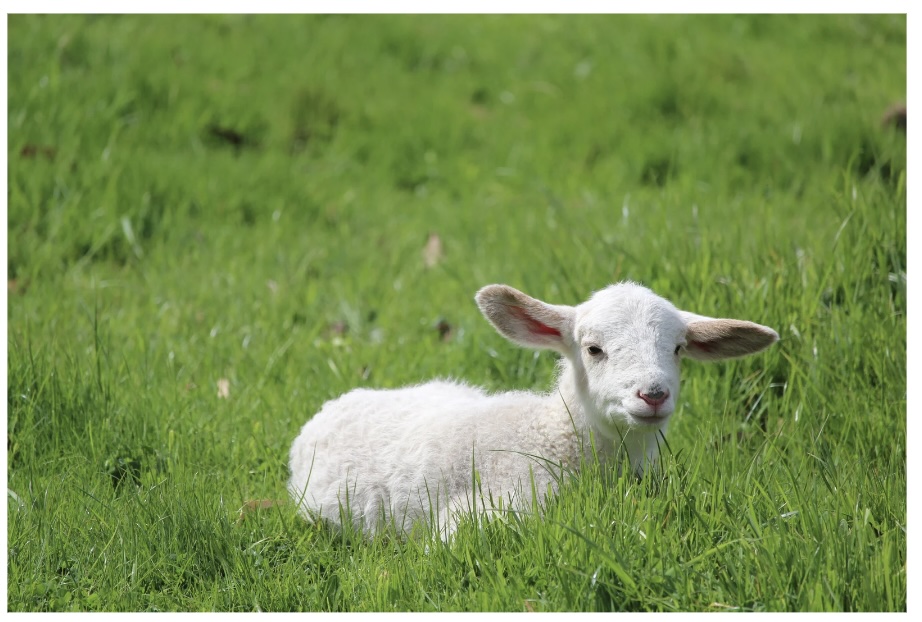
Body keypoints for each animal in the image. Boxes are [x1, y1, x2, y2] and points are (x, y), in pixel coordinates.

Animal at [288, 282, 779, 538]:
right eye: (593, 349)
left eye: (678, 348)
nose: (653, 395)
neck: (553, 438)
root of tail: (333, 405)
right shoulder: (485, 509)